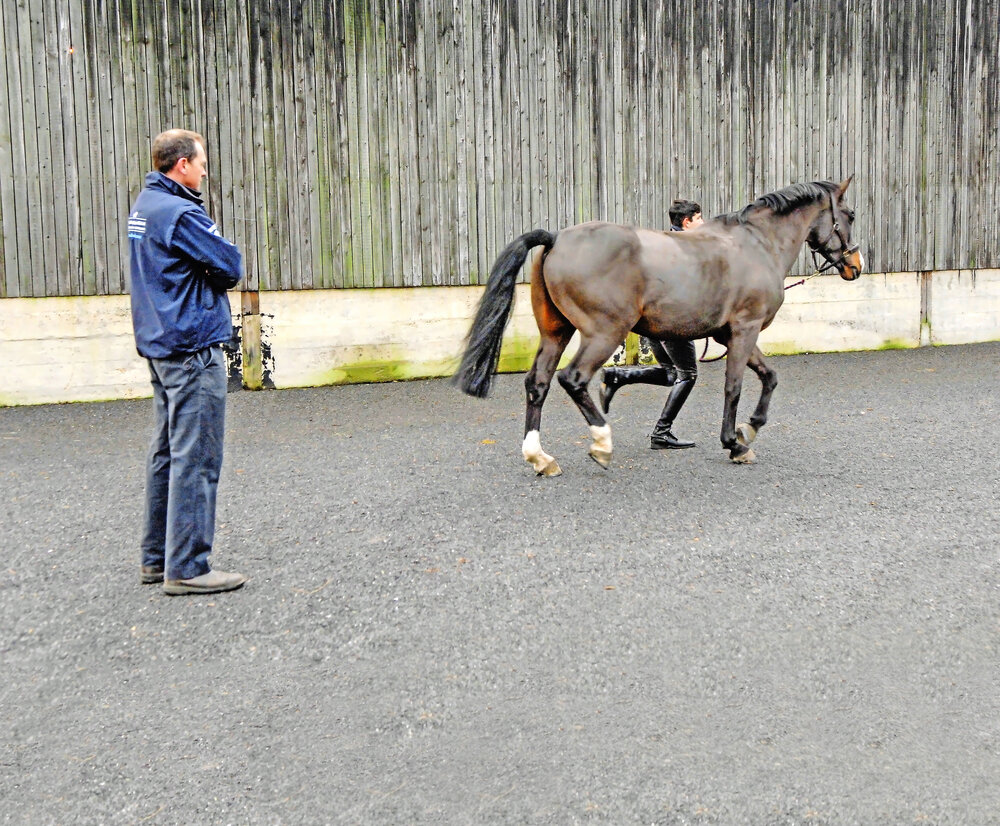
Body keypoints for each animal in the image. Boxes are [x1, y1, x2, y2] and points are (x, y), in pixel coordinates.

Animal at [454, 178, 864, 475]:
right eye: (851, 214)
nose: (855, 265)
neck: (756, 245)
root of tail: (556, 238)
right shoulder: (744, 330)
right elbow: (734, 387)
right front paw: (735, 442)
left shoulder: (728, 334)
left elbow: (770, 376)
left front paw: (748, 430)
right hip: (604, 333)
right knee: (572, 379)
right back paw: (601, 443)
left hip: (556, 333)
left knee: (537, 384)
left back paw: (541, 458)